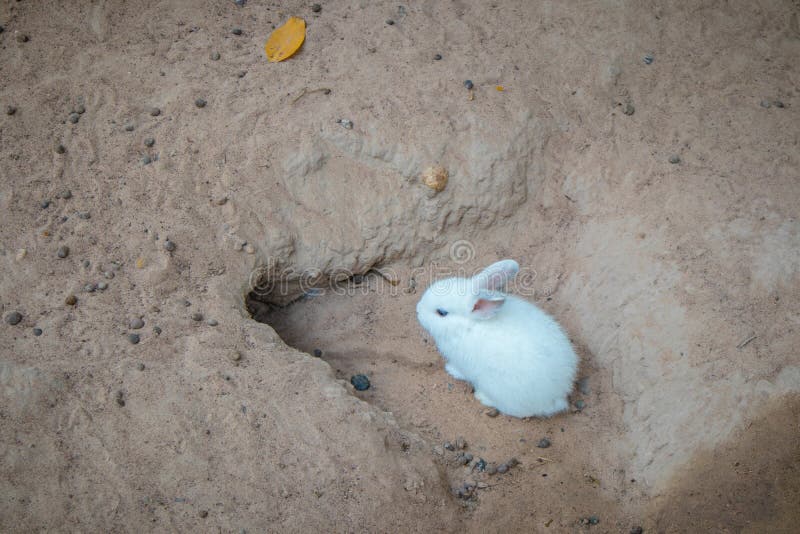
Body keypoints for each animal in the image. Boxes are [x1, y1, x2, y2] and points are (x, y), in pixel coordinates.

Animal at [416, 259, 578, 417]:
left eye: (442, 312)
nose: (418, 310)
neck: (468, 325)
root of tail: (557, 397)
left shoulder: (462, 363)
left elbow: (460, 371)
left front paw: (450, 369)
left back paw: (482, 397)